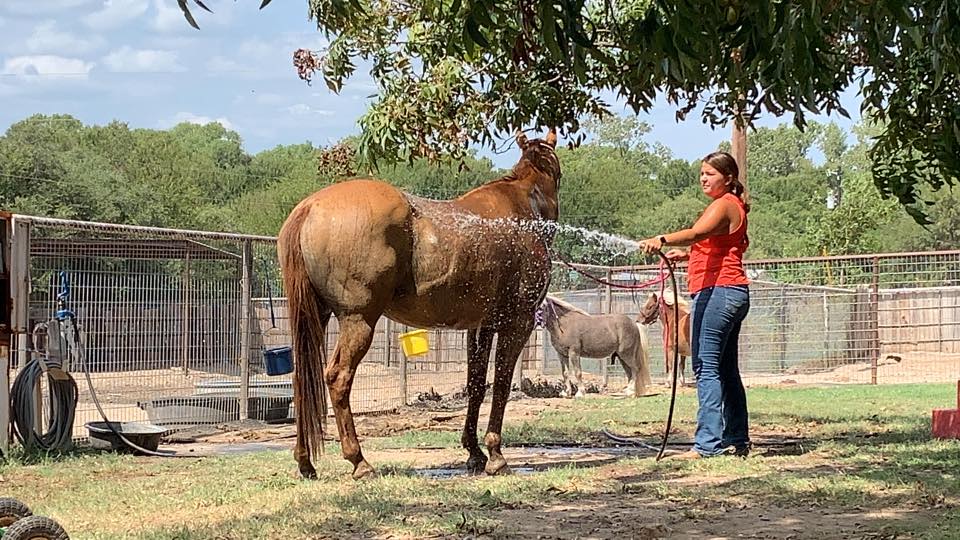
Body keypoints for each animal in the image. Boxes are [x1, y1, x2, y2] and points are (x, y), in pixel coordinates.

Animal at [277, 129, 561, 480]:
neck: (523, 207)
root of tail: (309, 207)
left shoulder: (480, 327)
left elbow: (476, 384)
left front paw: (475, 453)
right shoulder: (516, 322)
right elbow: (503, 385)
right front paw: (495, 455)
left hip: (316, 316)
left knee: (302, 379)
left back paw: (305, 461)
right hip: (358, 321)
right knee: (338, 377)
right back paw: (359, 462)